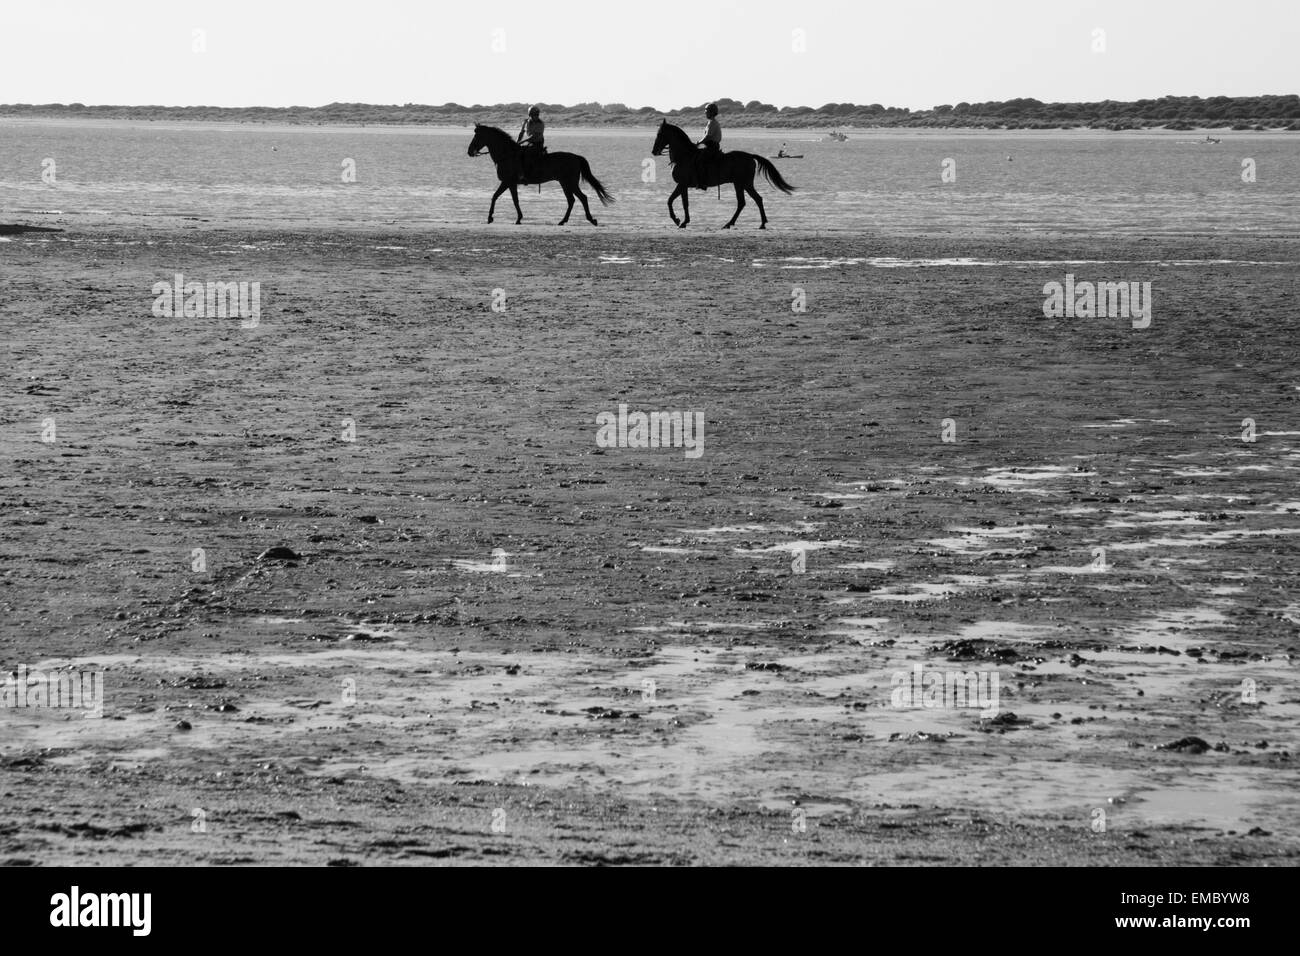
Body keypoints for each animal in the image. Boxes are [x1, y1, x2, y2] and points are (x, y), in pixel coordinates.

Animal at [467, 124, 614, 226]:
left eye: (477, 136)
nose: (469, 151)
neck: (507, 155)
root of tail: (576, 157)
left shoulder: (508, 182)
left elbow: (499, 197)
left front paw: (491, 217)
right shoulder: (511, 183)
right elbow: (508, 199)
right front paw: (516, 218)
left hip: (569, 183)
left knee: (581, 198)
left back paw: (589, 219)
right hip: (565, 183)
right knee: (572, 200)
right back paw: (564, 220)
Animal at [650, 120, 795, 229]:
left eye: (659, 134)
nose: (654, 151)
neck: (684, 156)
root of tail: (749, 155)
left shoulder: (681, 184)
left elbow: (670, 201)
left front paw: (677, 220)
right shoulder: (684, 186)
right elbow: (684, 203)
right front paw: (684, 221)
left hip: (743, 184)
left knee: (749, 201)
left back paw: (741, 223)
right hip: (742, 184)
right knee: (750, 201)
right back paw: (748, 223)